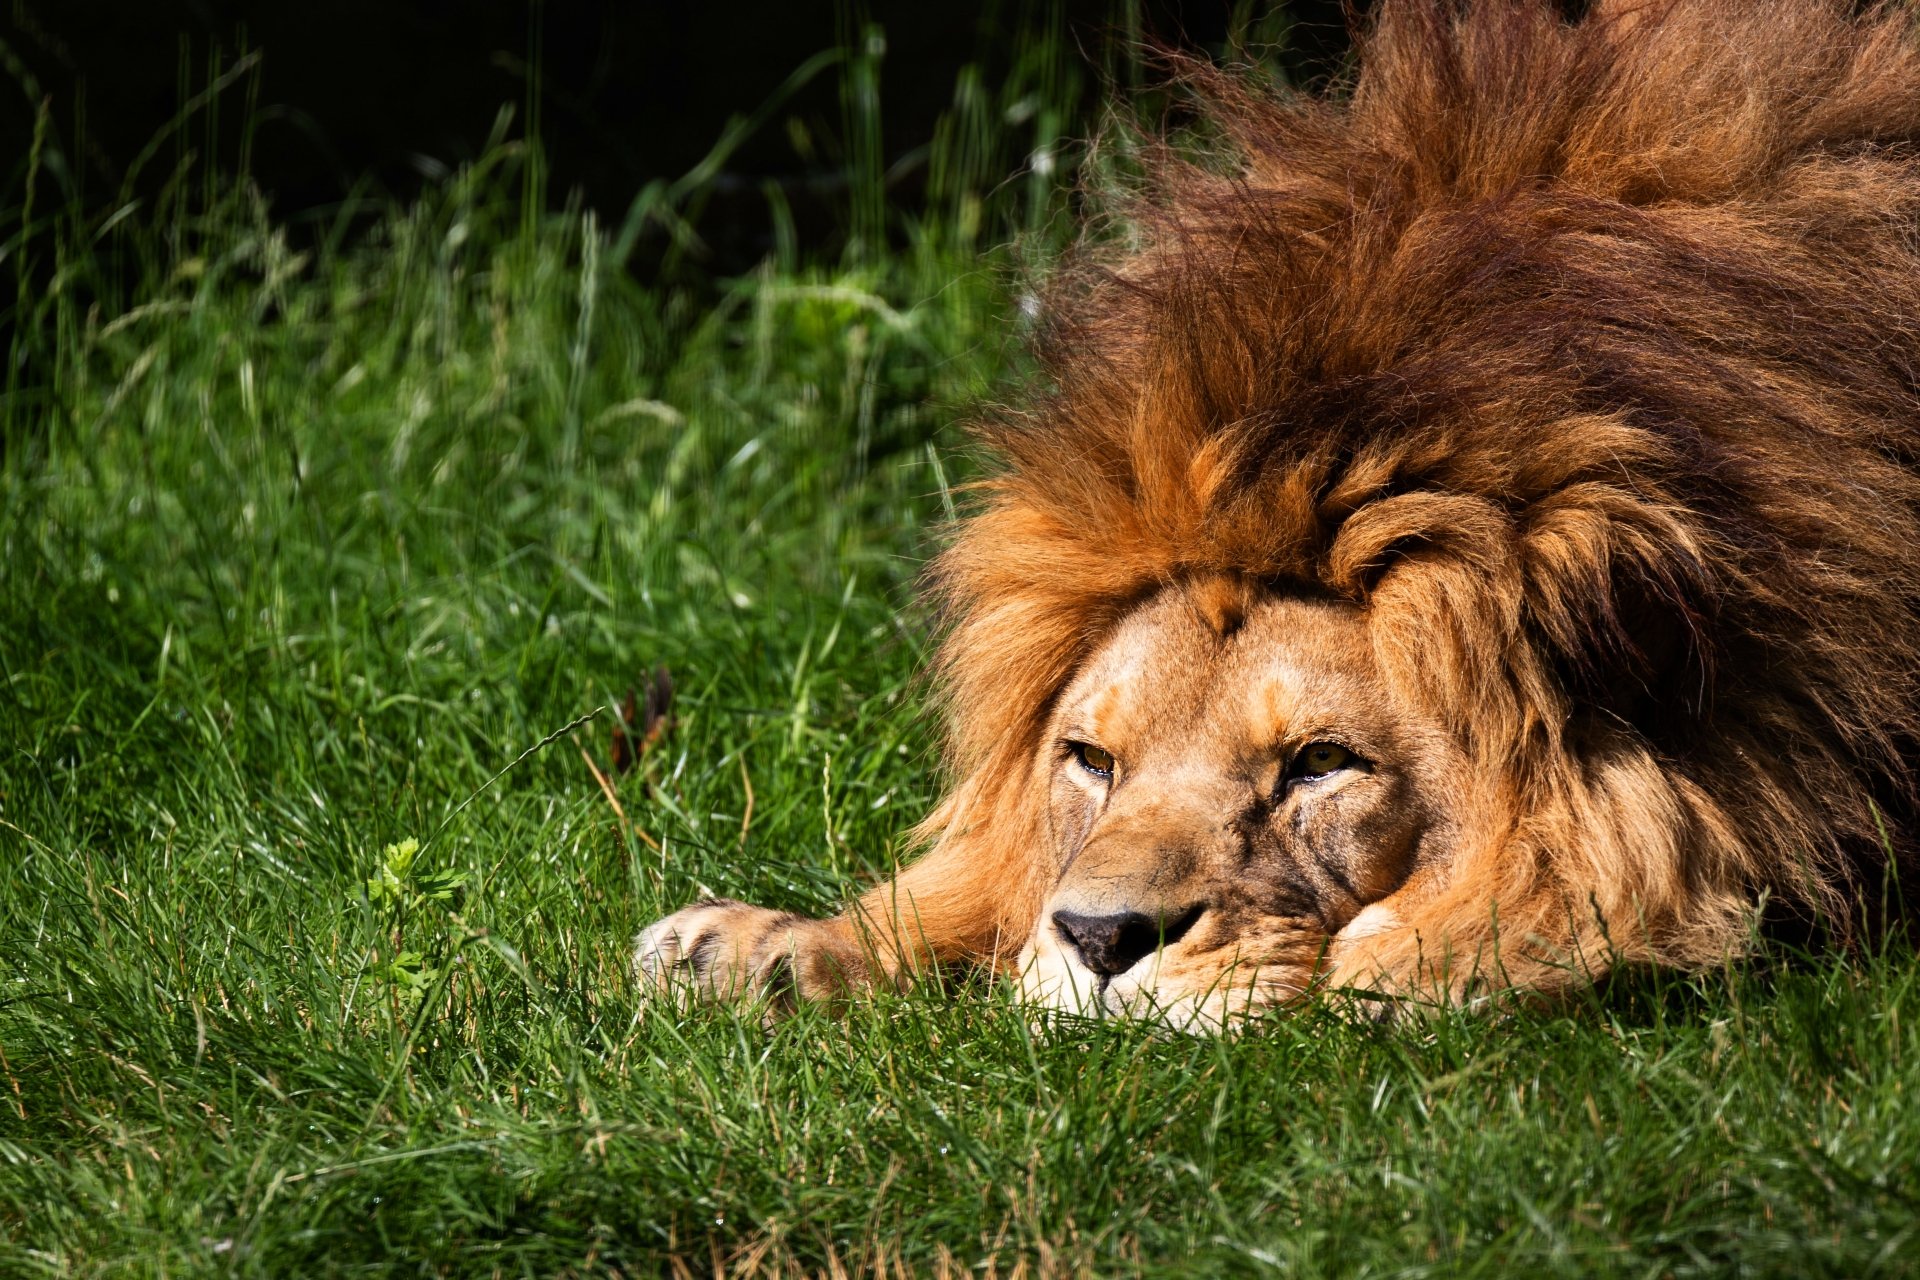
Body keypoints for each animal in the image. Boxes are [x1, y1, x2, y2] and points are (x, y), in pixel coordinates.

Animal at [638, 0, 1920, 1029]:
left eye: (1320, 763)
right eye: (1090, 759)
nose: (1102, 941)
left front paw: (1438, 948)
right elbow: (980, 877)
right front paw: (757, 947)